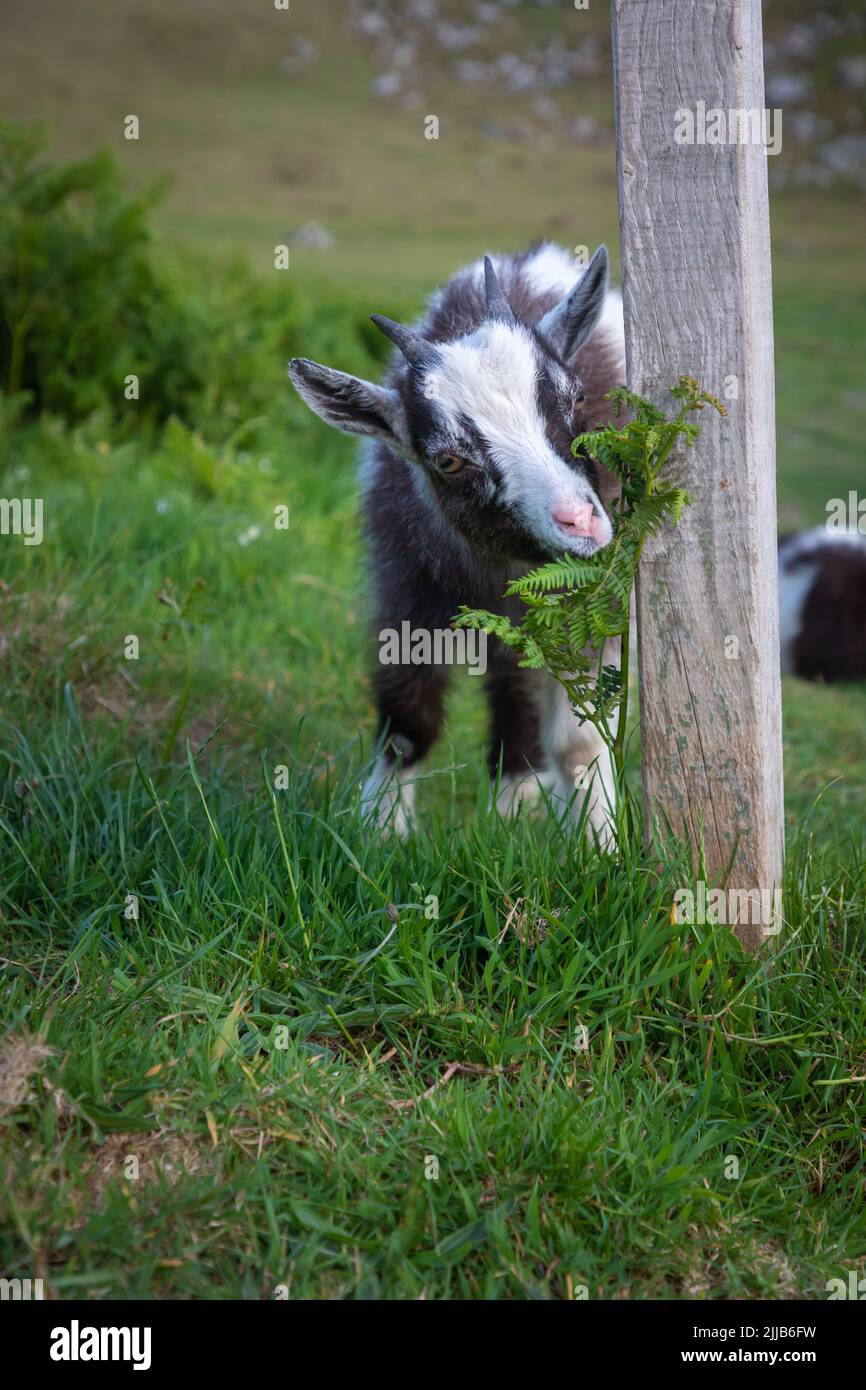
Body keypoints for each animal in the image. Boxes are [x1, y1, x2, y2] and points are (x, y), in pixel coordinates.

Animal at [290, 242, 626, 844]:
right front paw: (380, 835)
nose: (581, 523)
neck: (505, 567)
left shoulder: (590, 605)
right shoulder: (407, 587)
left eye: (577, 398)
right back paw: (514, 799)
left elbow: (580, 741)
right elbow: (407, 722)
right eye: (448, 460)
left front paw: (600, 847)